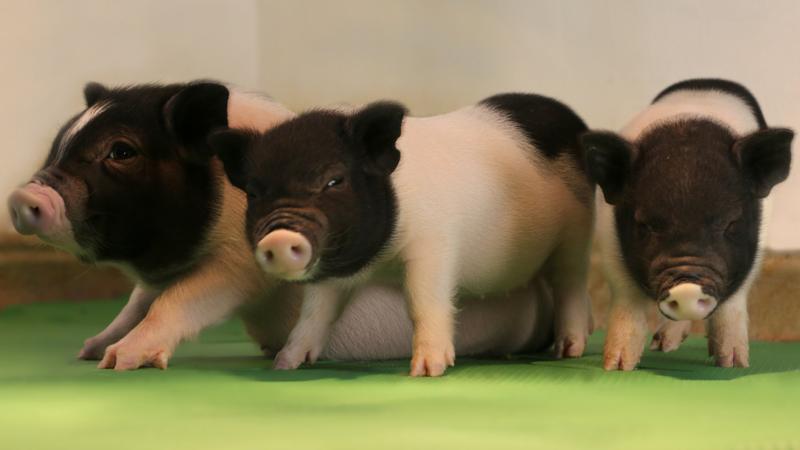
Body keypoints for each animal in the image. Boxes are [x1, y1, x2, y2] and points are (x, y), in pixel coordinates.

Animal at [5, 81, 556, 370]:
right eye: (59, 142)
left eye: (121, 151)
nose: (22, 195)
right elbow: (135, 304)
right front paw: (89, 351)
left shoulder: (237, 266)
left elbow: (176, 302)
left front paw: (118, 361)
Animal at [209, 93, 595, 376]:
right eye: (254, 192)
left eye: (334, 180)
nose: (277, 236)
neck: (381, 262)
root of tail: (571, 118)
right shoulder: (335, 270)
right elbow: (316, 312)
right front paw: (285, 364)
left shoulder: (434, 246)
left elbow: (423, 301)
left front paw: (426, 371)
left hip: (577, 234)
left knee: (571, 285)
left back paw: (569, 351)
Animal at [581, 78, 793, 370]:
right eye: (645, 225)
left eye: (730, 223)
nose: (687, 288)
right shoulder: (611, 244)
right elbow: (628, 304)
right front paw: (617, 366)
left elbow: (732, 305)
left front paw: (734, 363)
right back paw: (662, 346)